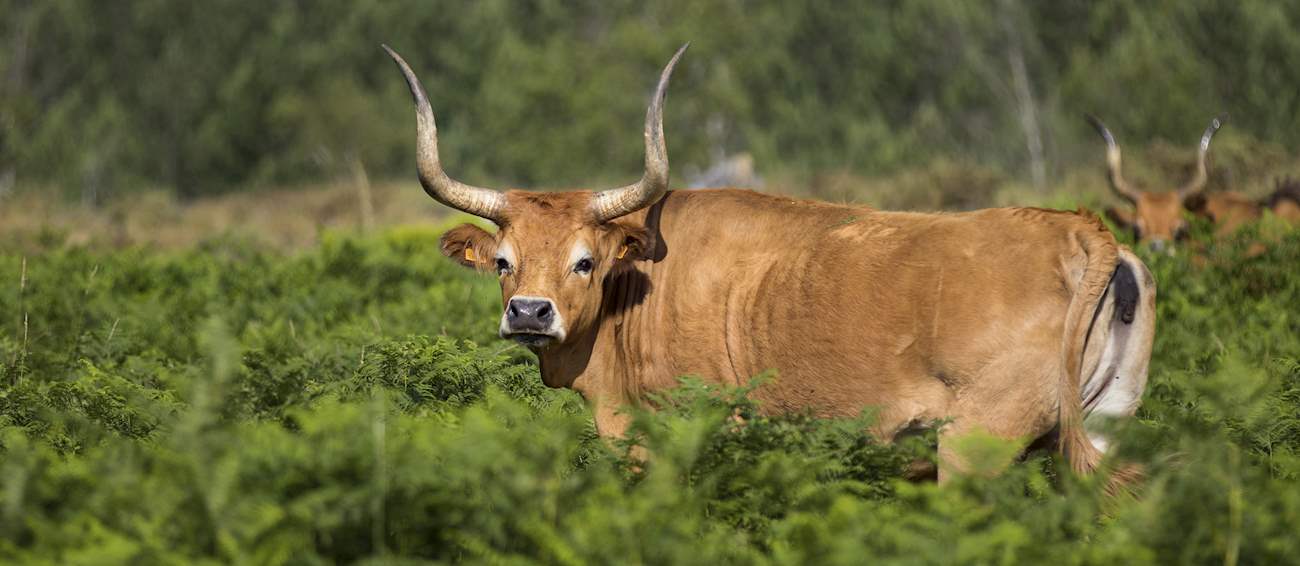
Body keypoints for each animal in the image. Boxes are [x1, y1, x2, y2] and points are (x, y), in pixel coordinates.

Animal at [383, 44, 1156, 479]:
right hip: (1103, 431)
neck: (641, 293)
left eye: (584, 262)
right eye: (503, 261)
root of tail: (1076, 227)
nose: (530, 313)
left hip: (975, 447)